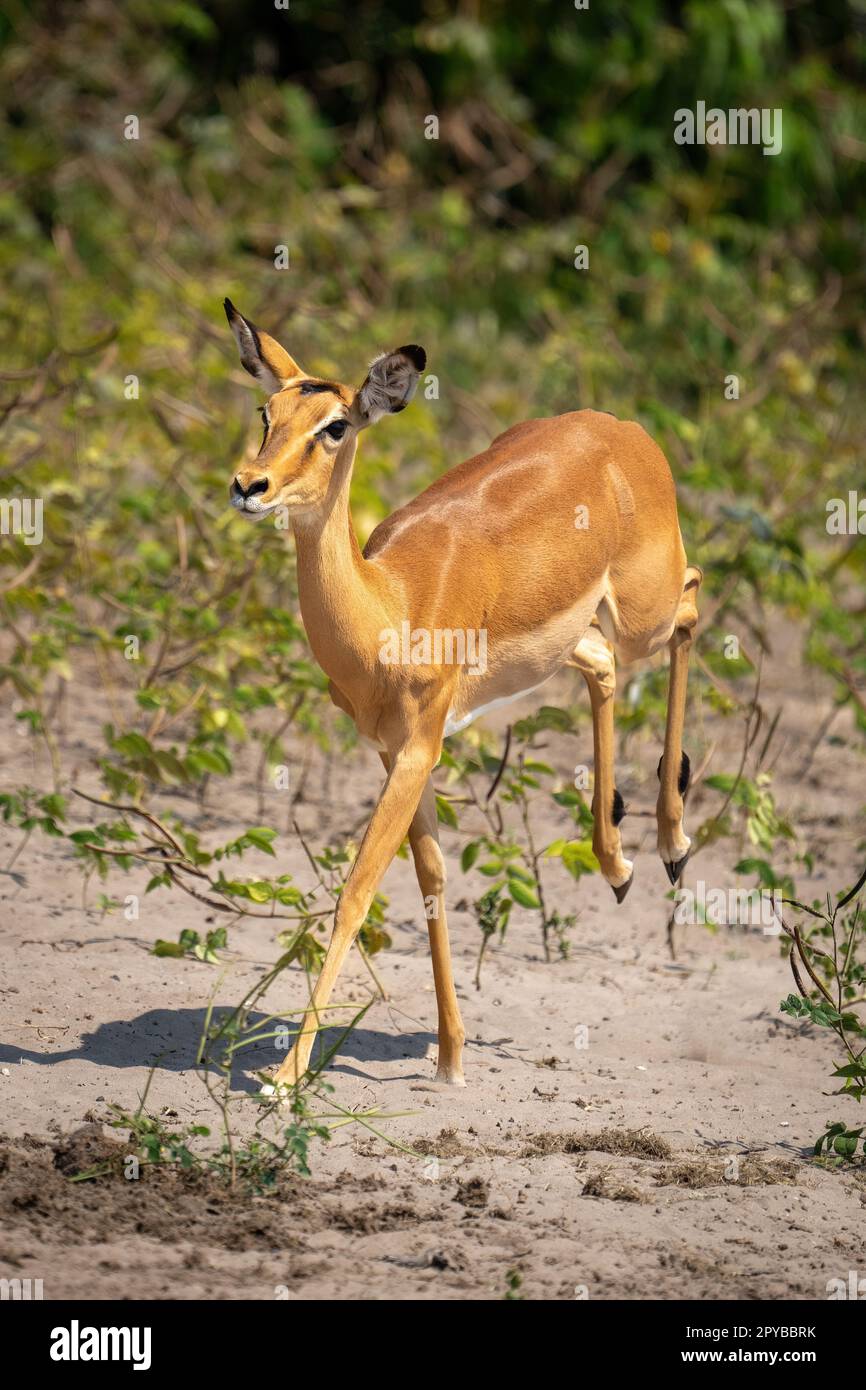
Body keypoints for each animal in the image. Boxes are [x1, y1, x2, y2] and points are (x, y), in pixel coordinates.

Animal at [224, 299, 702, 1089]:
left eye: (335, 425)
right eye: (266, 411)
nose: (248, 484)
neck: (390, 606)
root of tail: (624, 431)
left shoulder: (418, 749)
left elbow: (356, 892)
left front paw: (286, 1077)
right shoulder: (398, 753)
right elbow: (432, 879)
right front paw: (450, 1054)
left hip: (647, 609)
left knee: (693, 606)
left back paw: (671, 843)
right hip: (574, 639)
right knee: (602, 664)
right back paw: (619, 865)